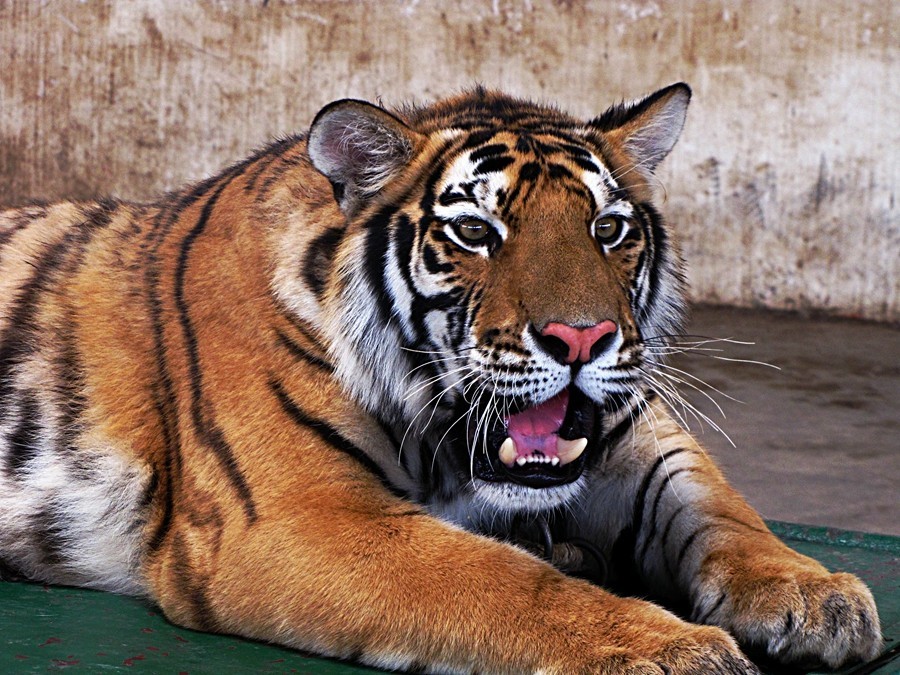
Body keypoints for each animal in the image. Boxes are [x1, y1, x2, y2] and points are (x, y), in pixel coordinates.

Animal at [0, 83, 882, 673]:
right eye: (475, 232)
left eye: (608, 228)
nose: (581, 337)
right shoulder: (295, 516)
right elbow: (501, 580)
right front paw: (671, 647)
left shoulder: (632, 432)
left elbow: (719, 506)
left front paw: (818, 594)